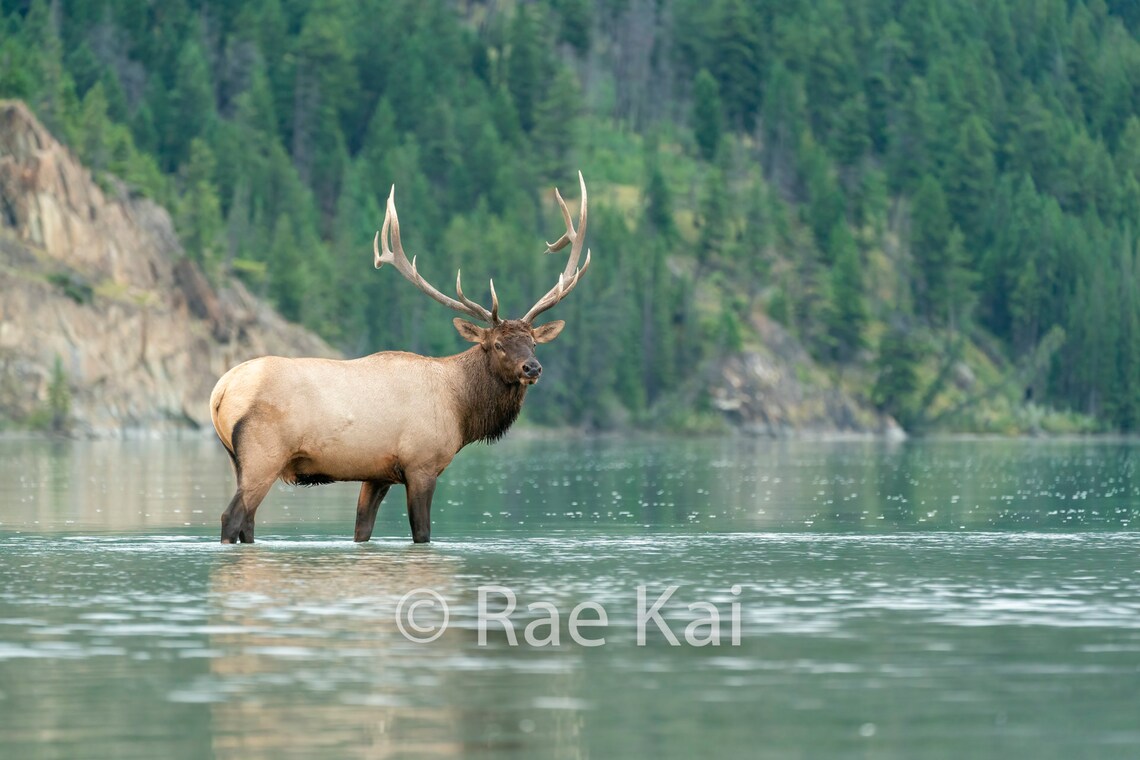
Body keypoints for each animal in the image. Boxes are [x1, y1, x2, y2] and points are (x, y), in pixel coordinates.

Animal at [209, 173, 590, 544]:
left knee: (247, 525)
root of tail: (220, 391)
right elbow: (422, 532)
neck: (461, 408)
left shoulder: (378, 473)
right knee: (232, 517)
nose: (532, 368)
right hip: (264, 455)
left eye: (533, 344)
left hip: (239, 460)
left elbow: (362, 530)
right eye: (497, 344)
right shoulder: (421, 464)